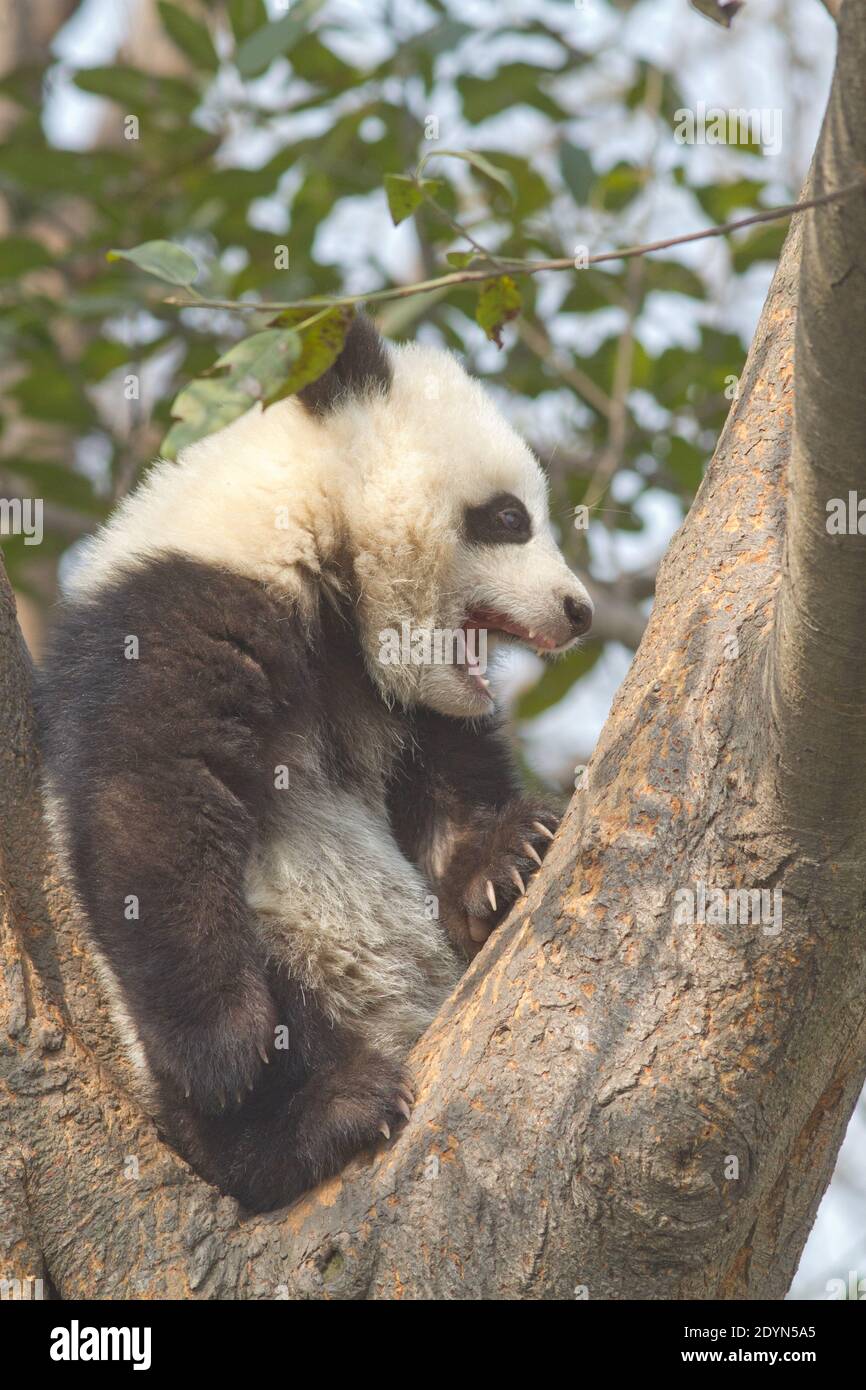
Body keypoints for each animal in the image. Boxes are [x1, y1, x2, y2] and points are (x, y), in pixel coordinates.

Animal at [37, 317, 593, 1212]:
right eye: (508, 517)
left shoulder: (396, 696)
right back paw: (320, 1115)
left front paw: (501, 860)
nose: (578, 611)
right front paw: (225, 1052)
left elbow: (442, 773)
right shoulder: (175, 615)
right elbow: (151, 801)